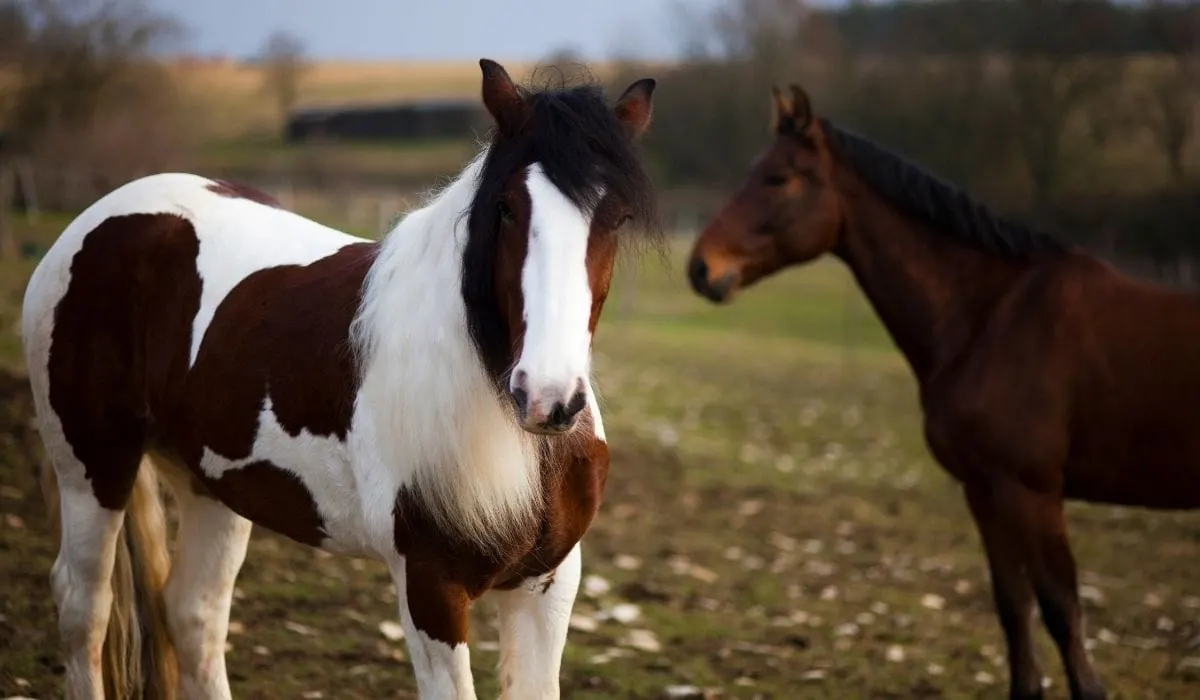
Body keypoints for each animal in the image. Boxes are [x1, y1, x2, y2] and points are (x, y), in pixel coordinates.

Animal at [21, 58, 660, 700]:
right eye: (506, 208)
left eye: (616, 218)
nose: (549, 398)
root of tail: (100, 217)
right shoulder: (429, 588)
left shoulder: (547, 585)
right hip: (92, 468)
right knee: (84, 607)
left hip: (208, 484)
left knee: (192, 613)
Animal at [685, 84, 1200, 700]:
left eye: (778, 177)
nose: (701, 267)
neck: (991, 316)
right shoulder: (985, 490)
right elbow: (1013, 607)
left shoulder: (1034, 492)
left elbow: (1062, 611)